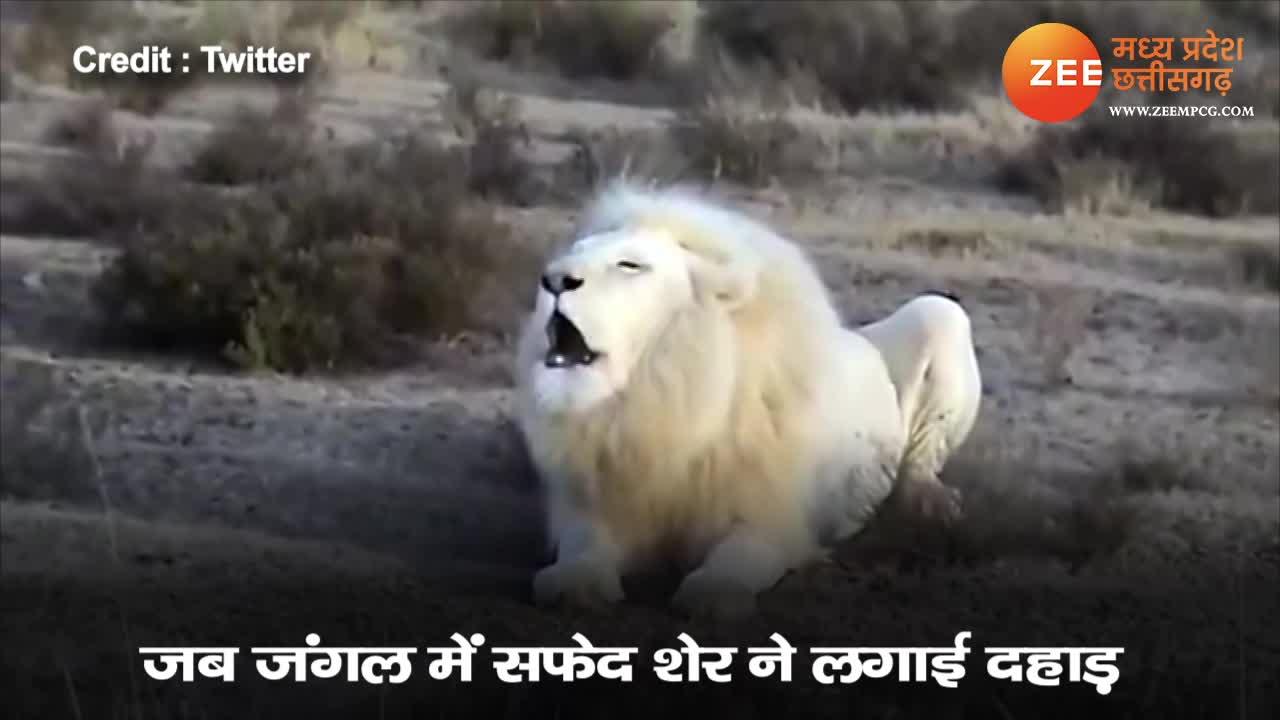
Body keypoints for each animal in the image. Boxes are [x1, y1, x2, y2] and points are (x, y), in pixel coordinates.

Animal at [513, 181, 981, 621]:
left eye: (630, 265)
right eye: (573, 253)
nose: (552, 280)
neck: (660, 395)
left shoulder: (777, 521)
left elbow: (740, 556)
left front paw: (714, 593)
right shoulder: (594, 501)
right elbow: (583, 545)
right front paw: (574, 583)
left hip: (941, 312)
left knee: (920, 464)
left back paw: (932, 505)